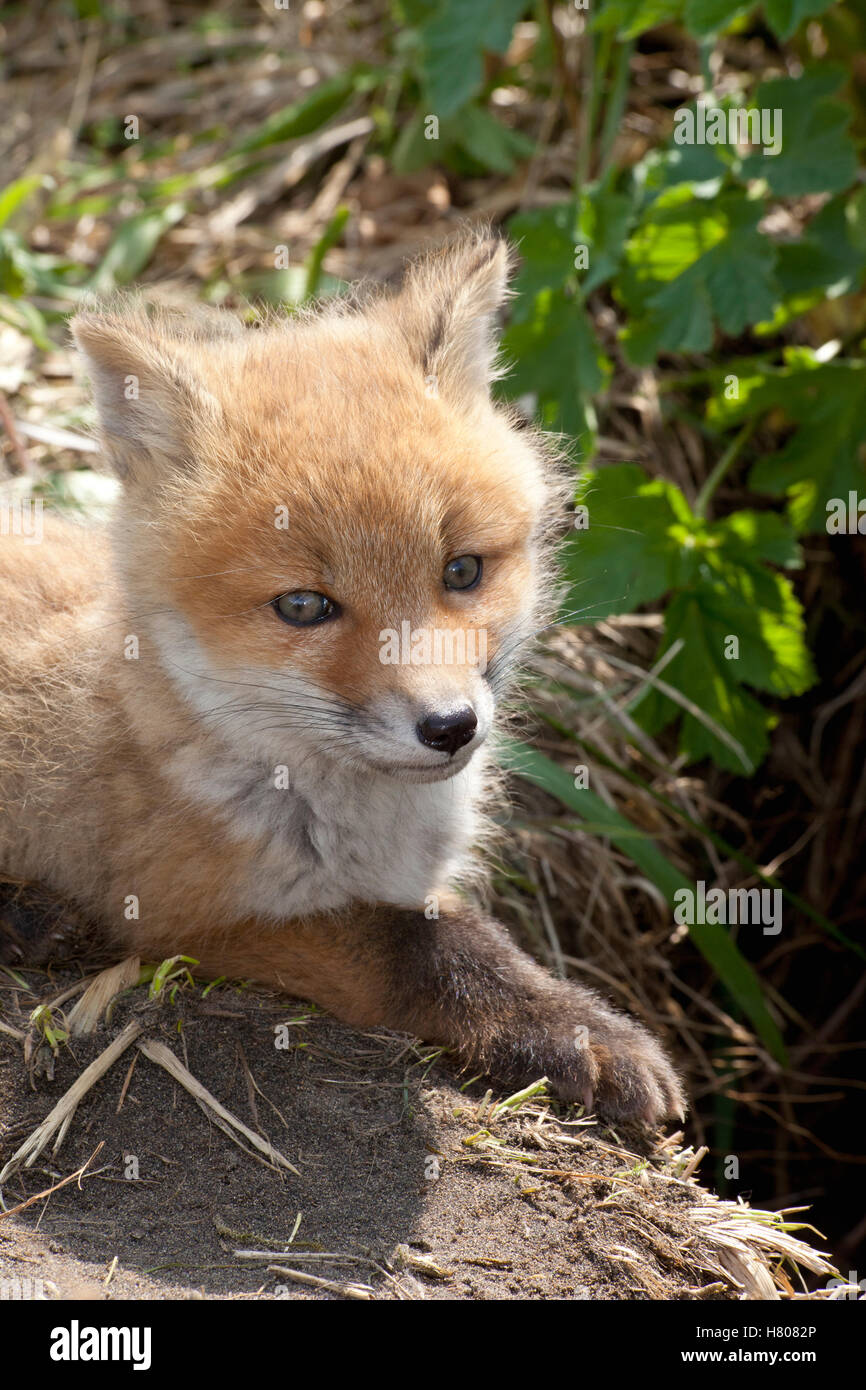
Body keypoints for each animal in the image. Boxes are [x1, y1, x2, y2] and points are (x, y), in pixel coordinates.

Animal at [0, 231, 684, 1124]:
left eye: (462, 571)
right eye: (303, 606)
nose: (452, 727)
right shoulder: (186, 912)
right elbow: (425, 945)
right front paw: (571, 1030)